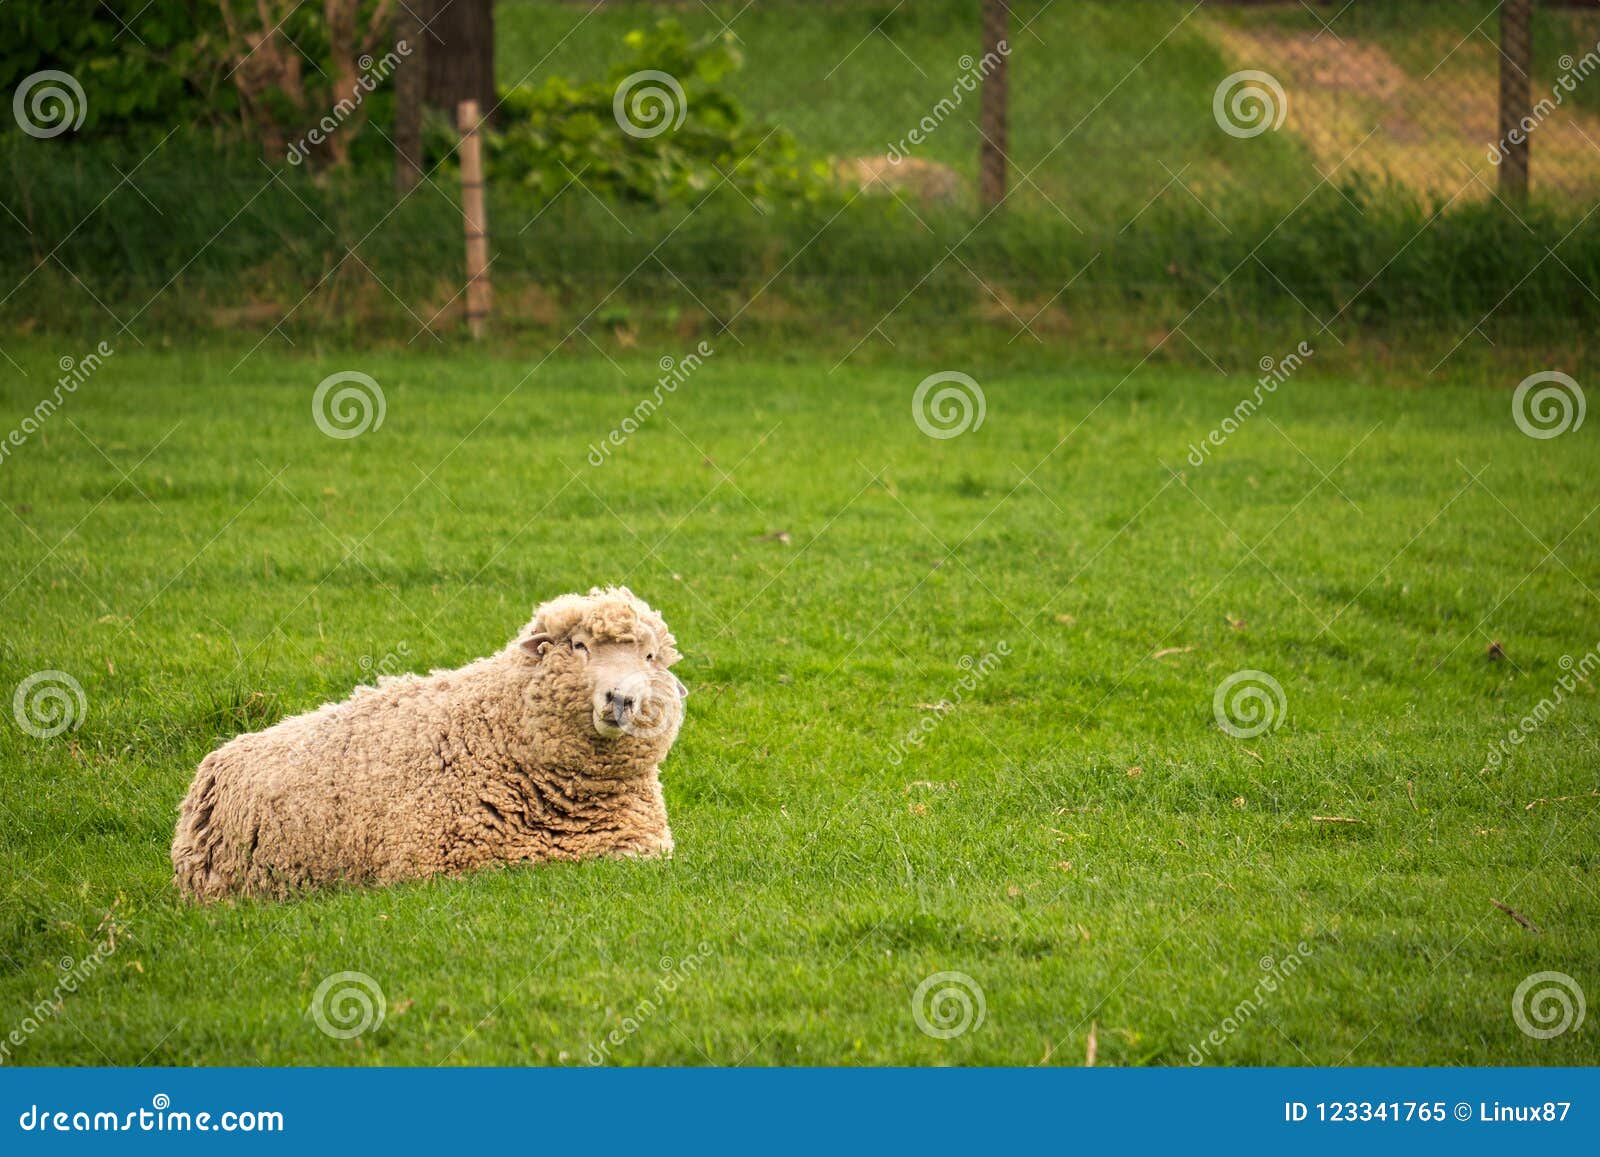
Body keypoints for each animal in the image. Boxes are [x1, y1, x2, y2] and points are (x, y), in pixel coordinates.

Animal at [171, 587, 688, 900]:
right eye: (579, 646)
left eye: (648, 657)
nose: (623, 699)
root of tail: (219, 757)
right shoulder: (435, 866)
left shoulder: (641, 849)